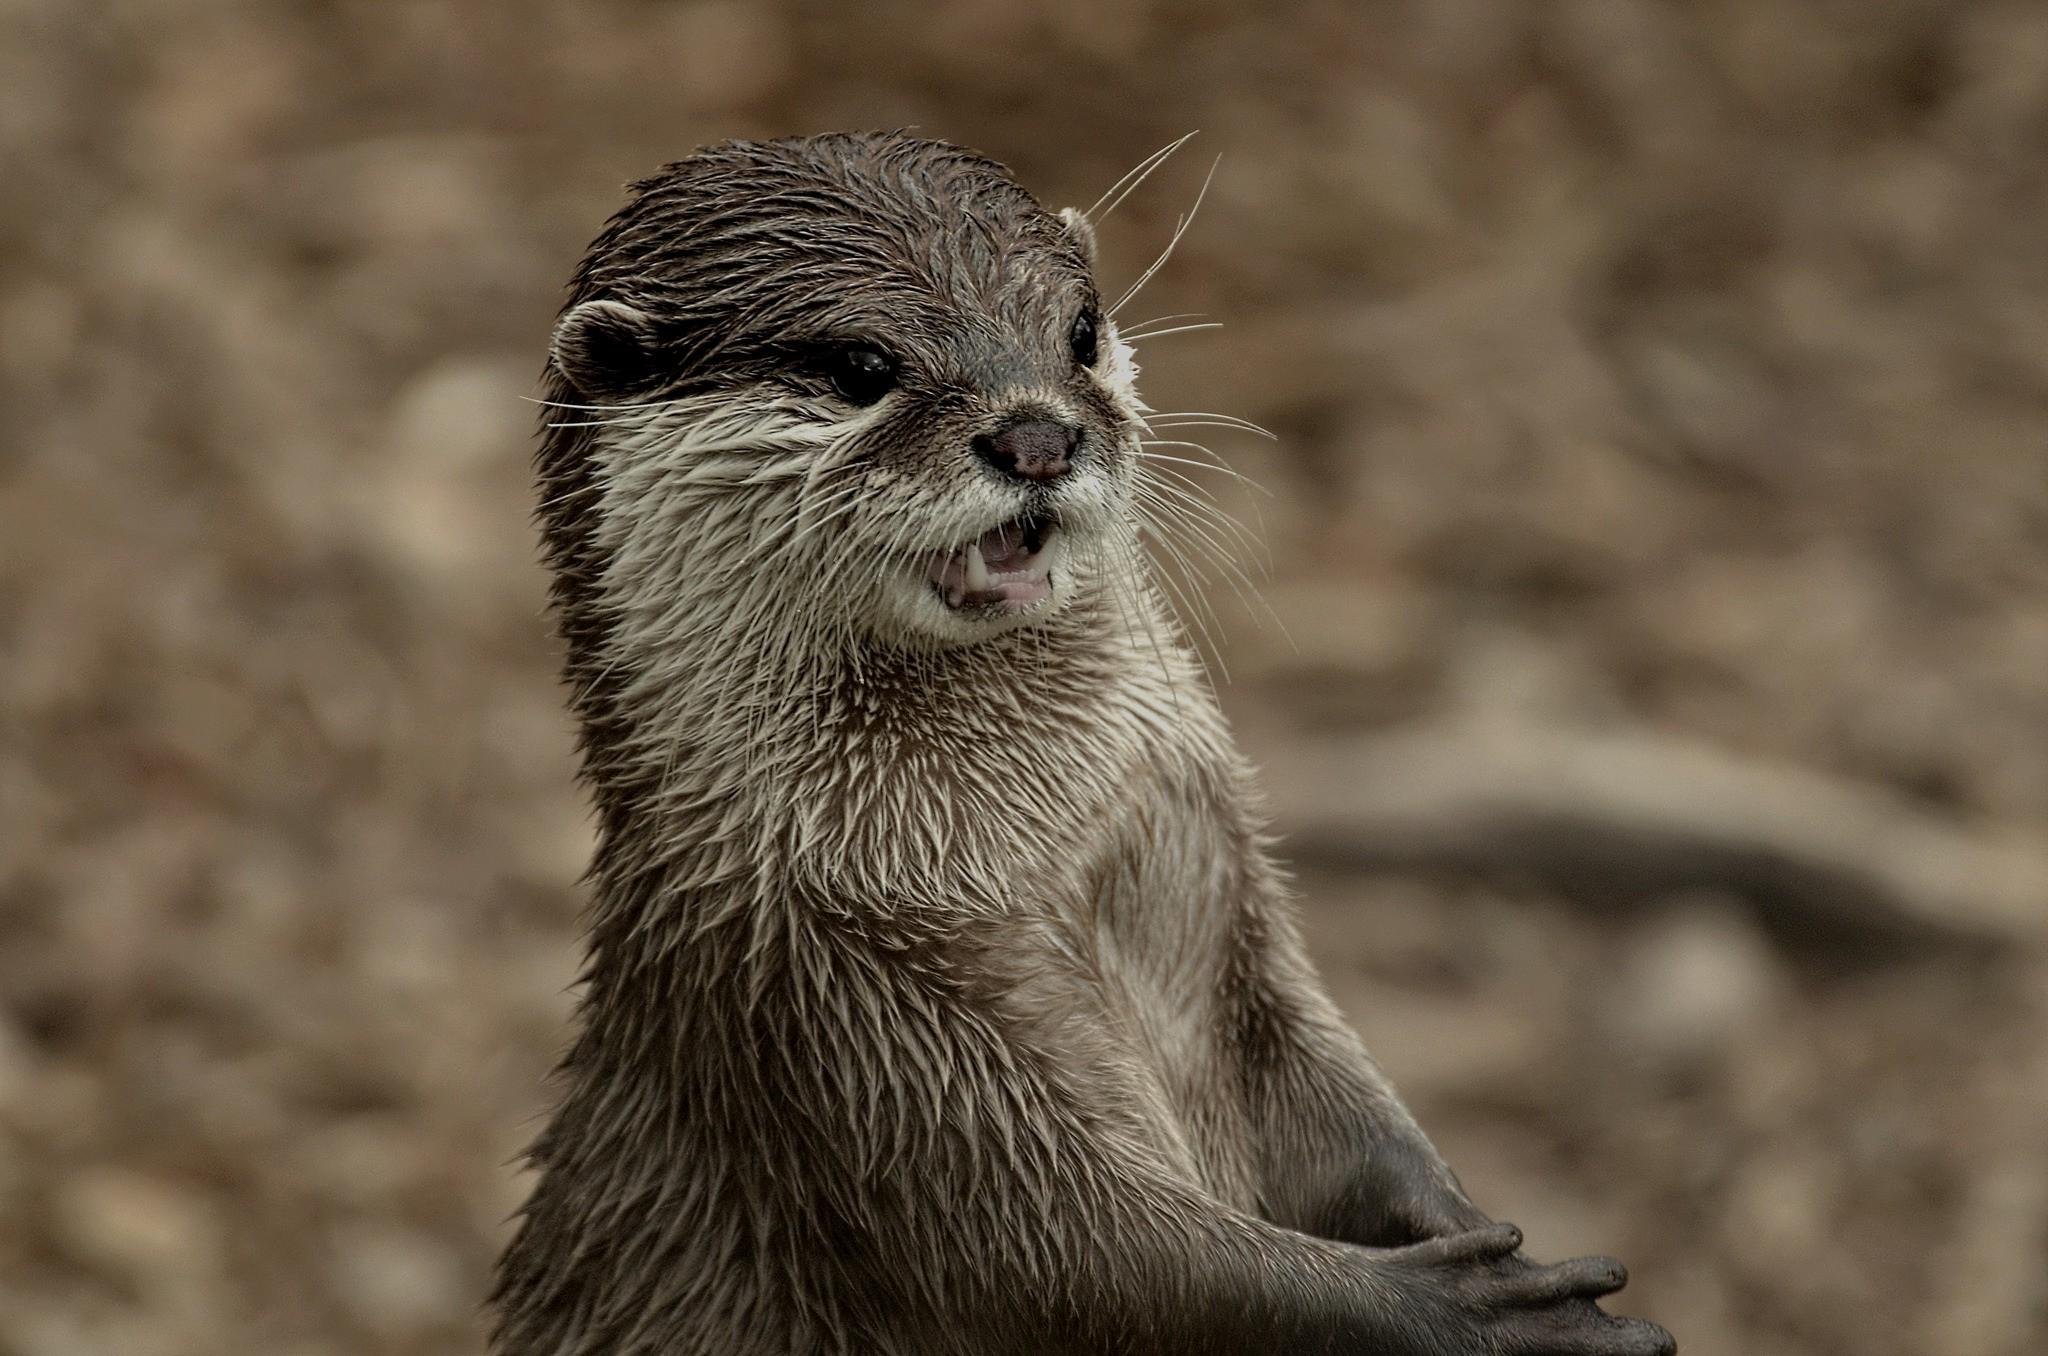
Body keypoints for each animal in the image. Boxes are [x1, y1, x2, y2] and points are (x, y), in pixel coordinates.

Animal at [493, 131, 1674, 1356]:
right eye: (860, 365)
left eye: (1076, 331)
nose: (1036, 437)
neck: (1048, 844)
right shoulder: (828, 1013)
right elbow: (1091, 1262)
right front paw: (1467, 1311)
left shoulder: (1234, 909)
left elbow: (1340, 1107)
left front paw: (1476, 1229)